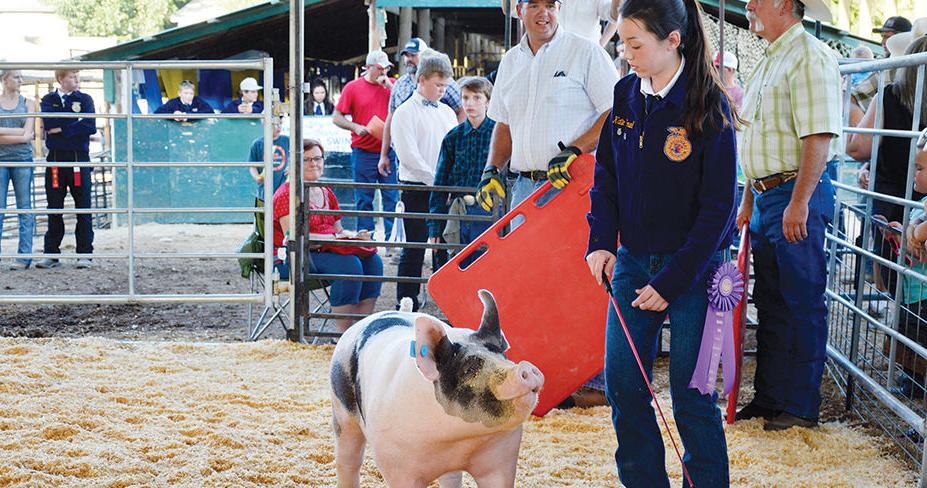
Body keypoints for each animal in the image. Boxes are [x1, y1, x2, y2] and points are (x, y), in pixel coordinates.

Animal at [329, 289, 544, 488]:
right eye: (468, 369)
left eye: (503, 354)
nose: (525, 368)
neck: (457, 440)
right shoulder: (398, 466)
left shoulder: (501, 458)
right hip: (341, 411)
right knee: (348, 461)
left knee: (451, 477)